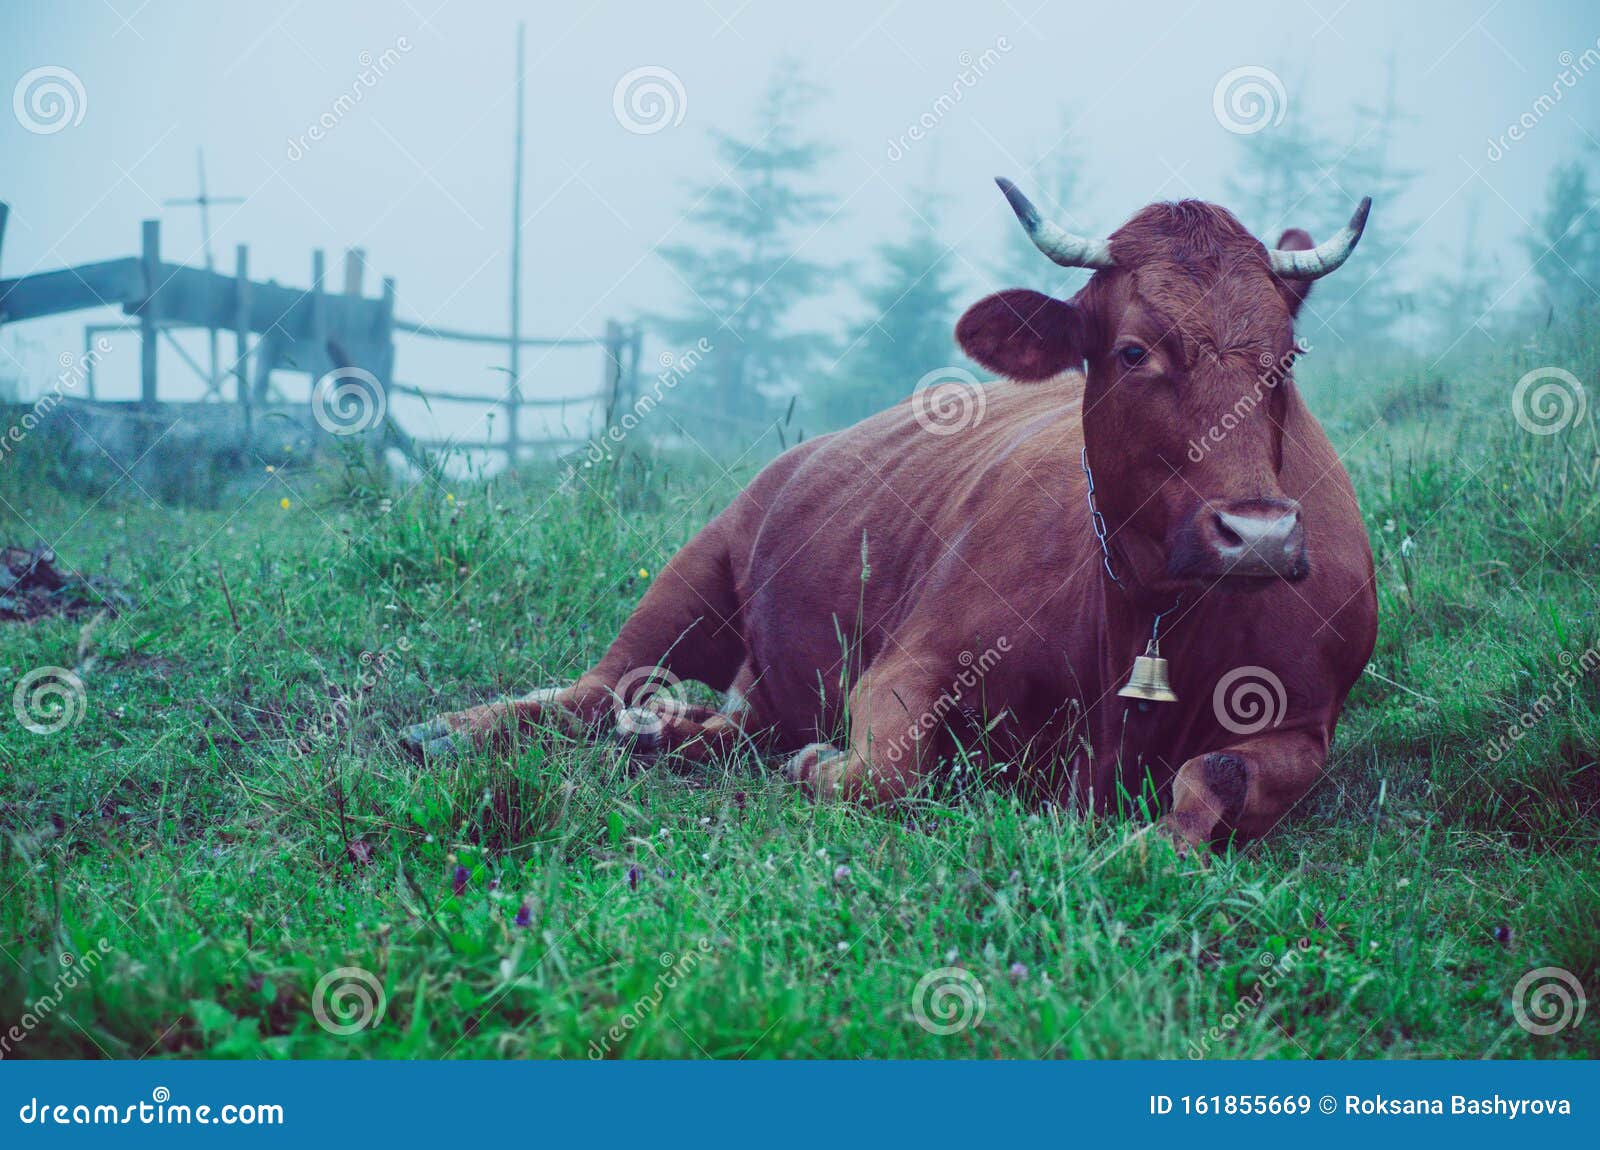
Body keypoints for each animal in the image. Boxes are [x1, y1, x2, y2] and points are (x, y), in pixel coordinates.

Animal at [403, 178, 1379, 850]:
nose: (1258, 537)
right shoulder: (914, 661)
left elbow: (1215, 777)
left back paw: (667, 730)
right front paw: (817, 767)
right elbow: (883, 775)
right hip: (699, 564)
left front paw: (1158, 842)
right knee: (591, 691)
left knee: (706, 722)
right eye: (1135, 351)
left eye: (1287, 357)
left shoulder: (1305, 721)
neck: (1155, 625)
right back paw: (450, 731)